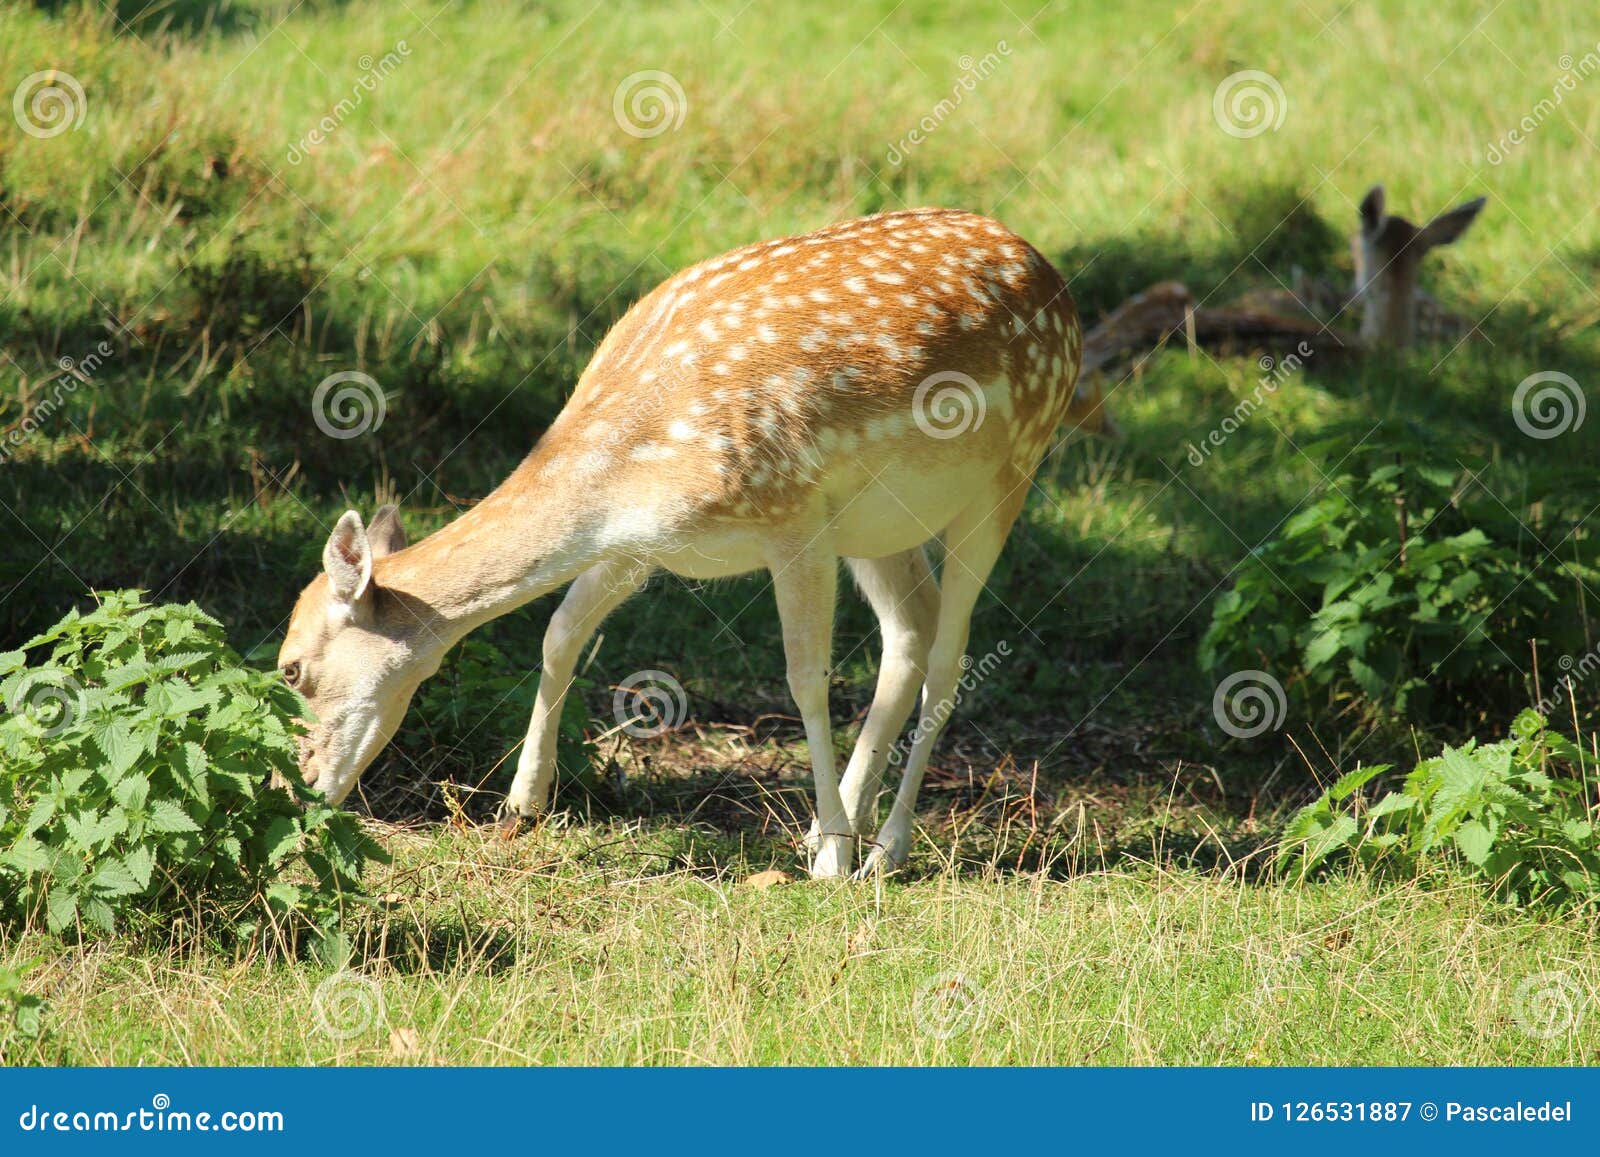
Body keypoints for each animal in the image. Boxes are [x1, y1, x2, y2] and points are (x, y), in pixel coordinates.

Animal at [277, 208, 1115, 879]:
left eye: (291, 669)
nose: (303, 785)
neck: (628, 457)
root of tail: (1055, 276)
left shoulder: (791, 515)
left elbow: (805, 680)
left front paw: (833, 862)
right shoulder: (638, 543)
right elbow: (559, 633)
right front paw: (523, 801)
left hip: (1009, 469)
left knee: (949, 651)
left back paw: (881, 847)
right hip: (879, 523)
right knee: (911, 628)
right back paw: (839, 823)